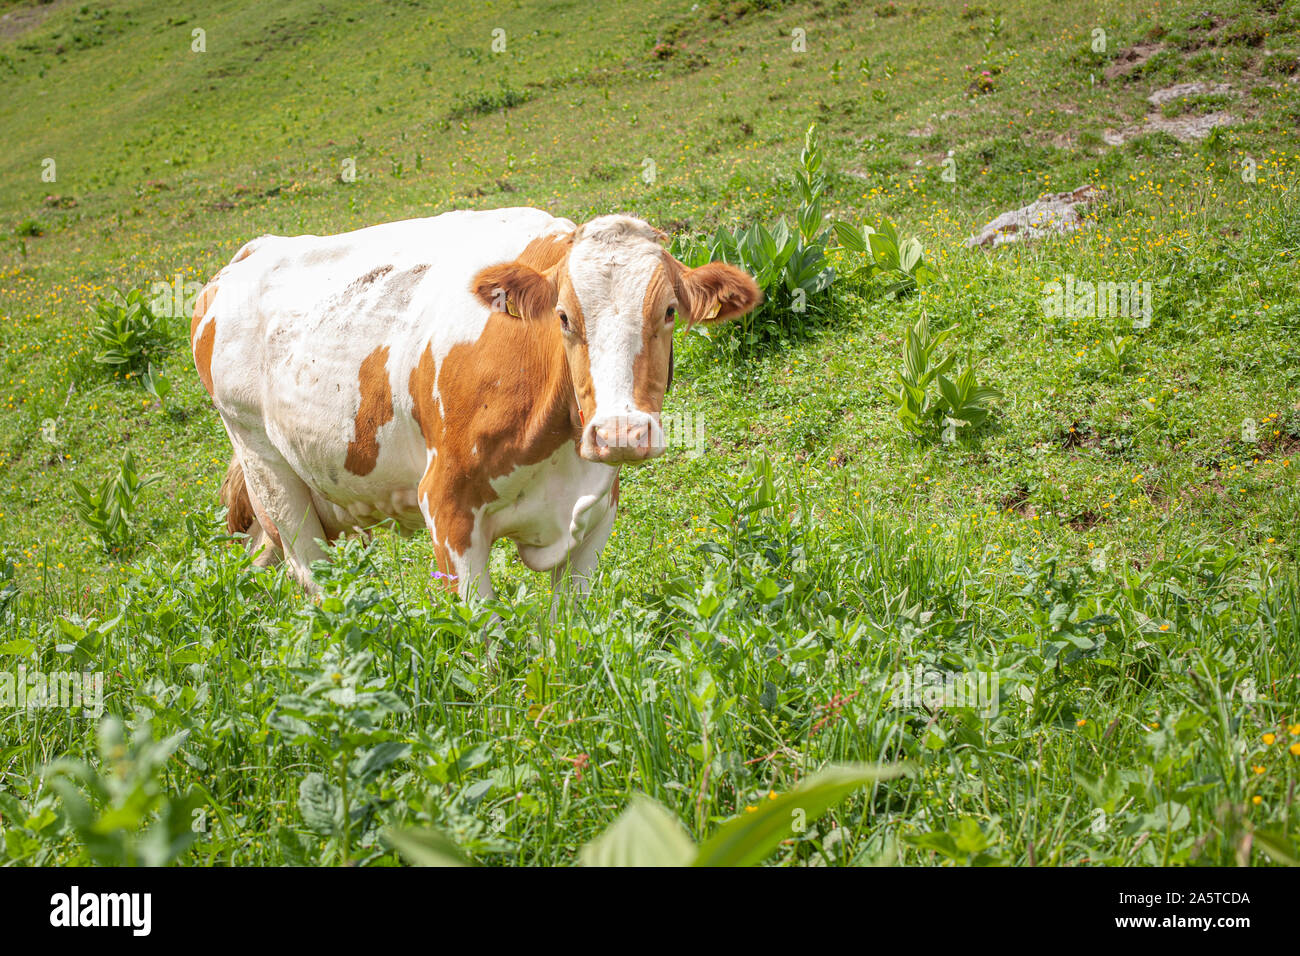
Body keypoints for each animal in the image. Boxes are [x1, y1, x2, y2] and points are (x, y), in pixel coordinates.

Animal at [191, 208, 761, 600]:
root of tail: (248, 255)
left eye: (668, 311)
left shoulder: (595, 512)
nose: (622, 432)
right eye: (563, 317)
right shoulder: (447, 509)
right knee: (316, 582)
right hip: (270, 475)